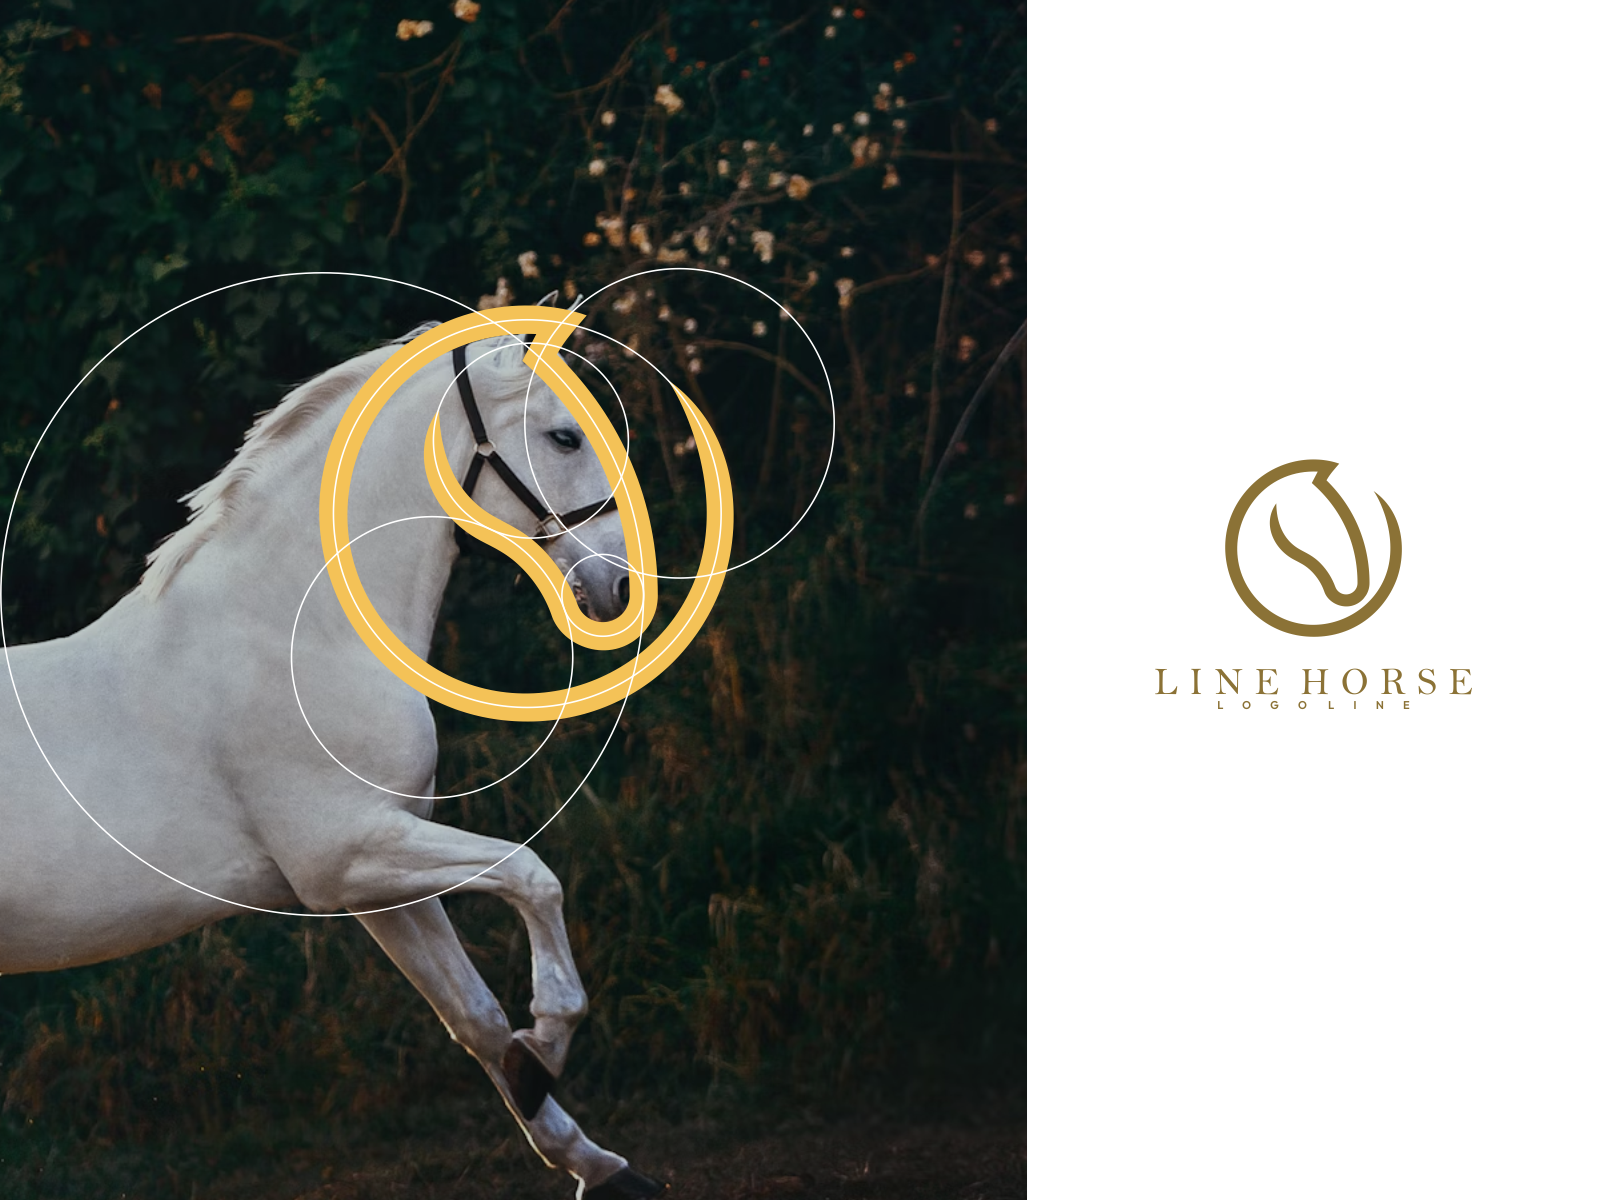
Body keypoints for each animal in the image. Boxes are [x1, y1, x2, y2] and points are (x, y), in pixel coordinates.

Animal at [0, 306, 696, 1199]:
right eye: (565, 436)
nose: (620, 588)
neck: (292, 634)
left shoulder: (384, 878)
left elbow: (473, 1017)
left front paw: (596, 1162)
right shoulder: (344, 859)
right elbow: (533, 877)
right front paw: (544, 1046)